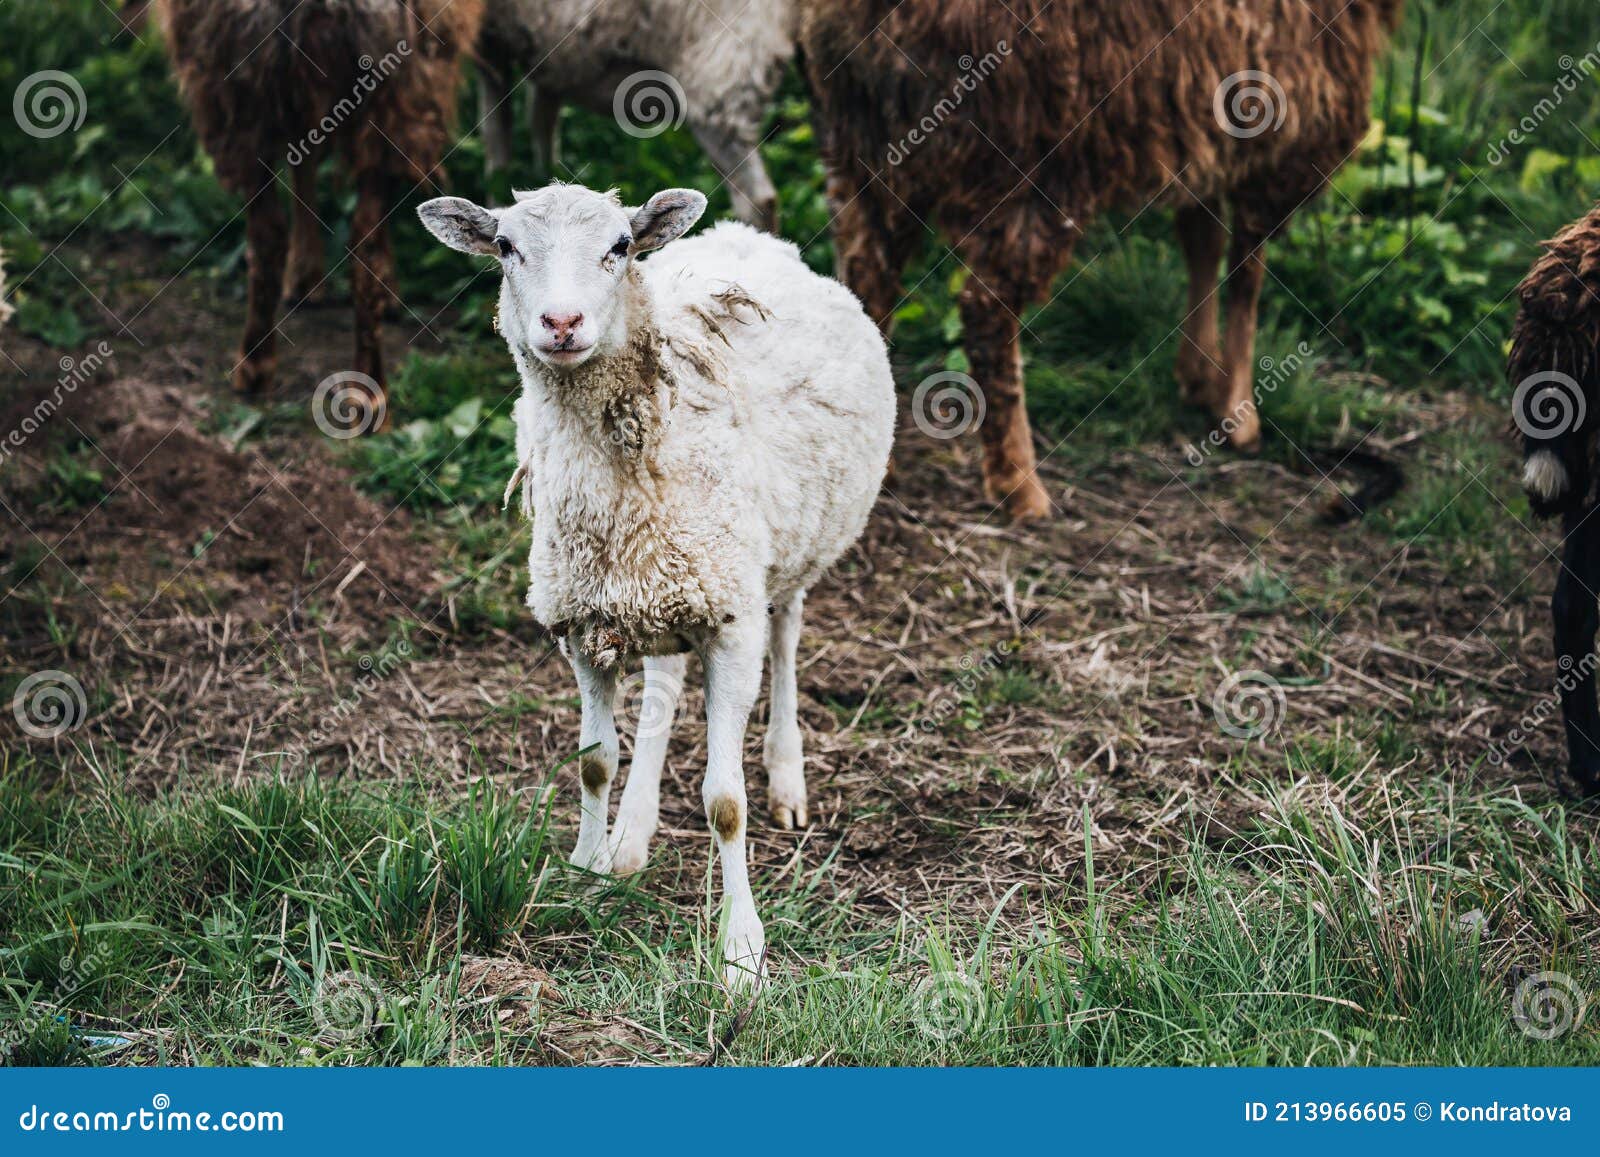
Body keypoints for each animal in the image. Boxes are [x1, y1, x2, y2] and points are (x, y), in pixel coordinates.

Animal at [154, 0, 484, 415]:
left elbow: (303, 158)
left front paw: (306, 276)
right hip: (398, 85)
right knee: (361, 239)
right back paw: (370, 389)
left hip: (237, 87)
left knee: (268, 232)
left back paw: (257, 364)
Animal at [417, 182, 896, 984]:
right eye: (507, 247)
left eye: (620, 246)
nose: (562, 323)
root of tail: (747, 234)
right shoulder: (581, 622)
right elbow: (594, 763)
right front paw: (584, 870)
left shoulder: (732, 620)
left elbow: (725, 801)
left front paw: (741, 952)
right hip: (662, 587)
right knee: (666, 681)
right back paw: (632, 836)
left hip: (793, 549)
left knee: (788, 636)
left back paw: (787, 776)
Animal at [802, 0, 1404, 521]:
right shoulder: (1285, 125)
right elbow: (1248, 266)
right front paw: (1239, 411)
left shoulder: (1210, 128)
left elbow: (1203, 237)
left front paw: (1199, 375)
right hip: (1025, 162)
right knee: (985, 308)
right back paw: (1020, 486)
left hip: (869, 148)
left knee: (868, 277)